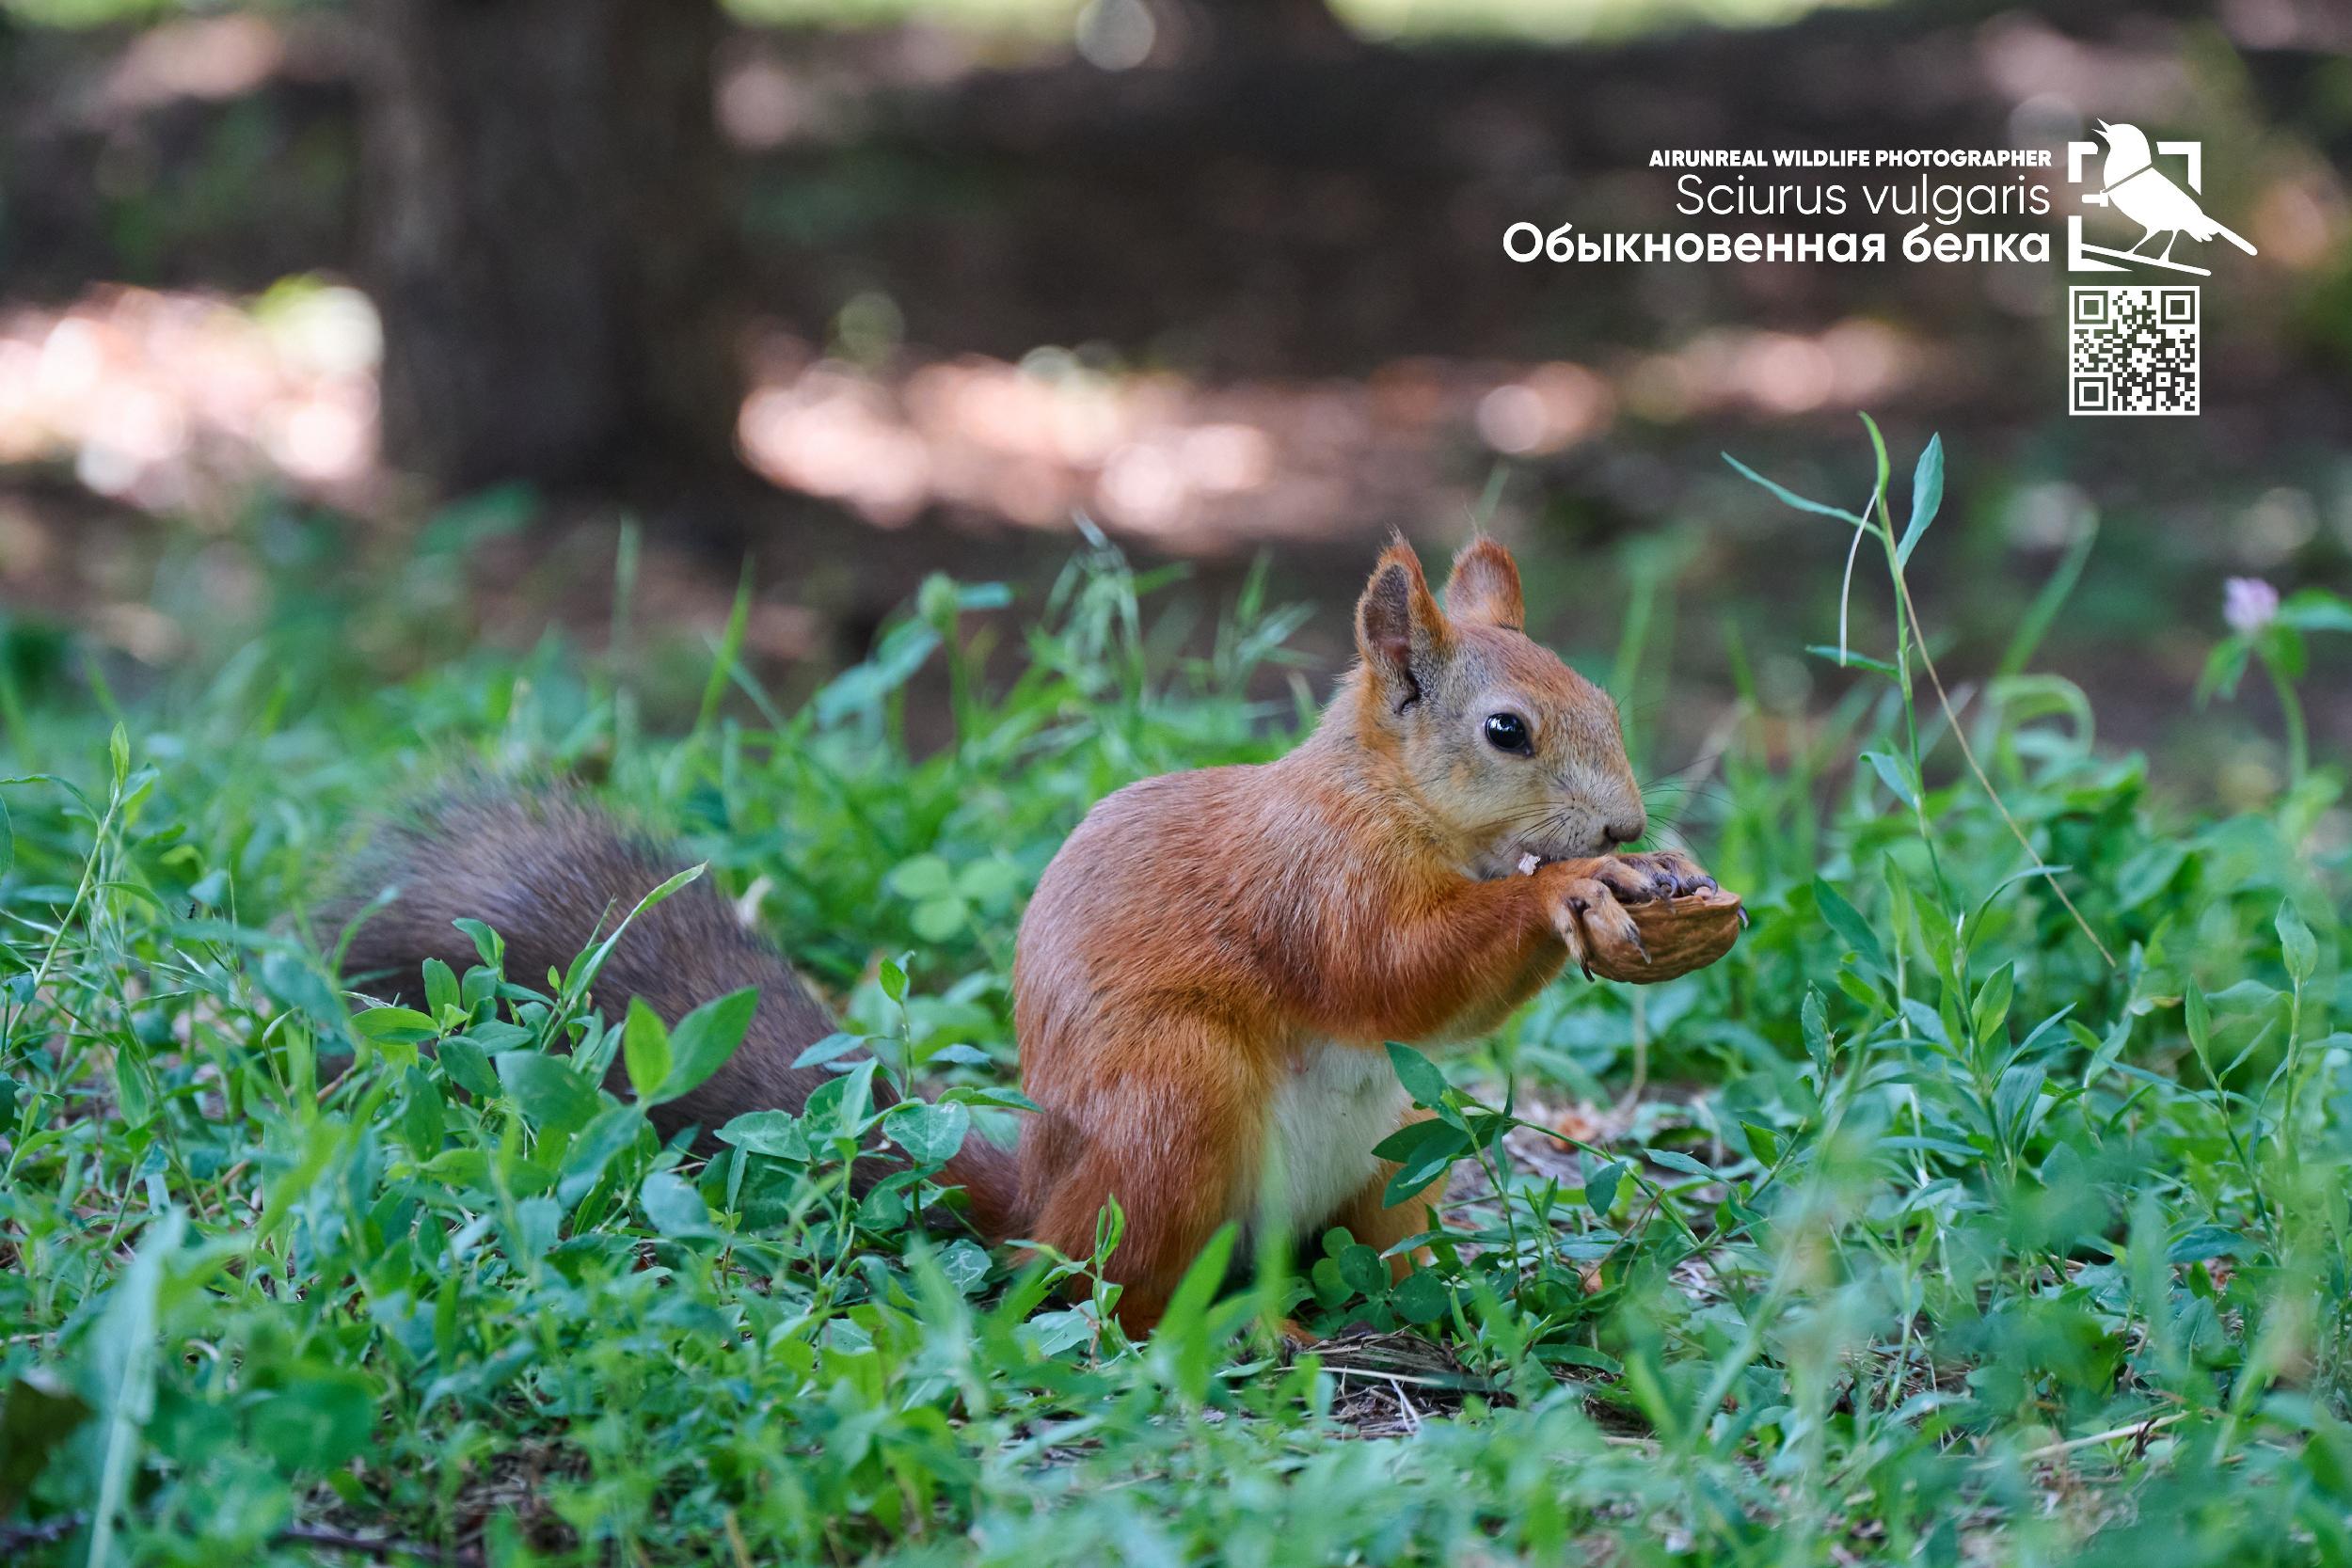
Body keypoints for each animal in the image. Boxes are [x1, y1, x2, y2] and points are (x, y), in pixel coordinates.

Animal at [332, 538, 1718, 1334]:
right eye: (1505, 730)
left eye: (1600, 697)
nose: (1626, 818)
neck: (1381, 800)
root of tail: (1034, 1204)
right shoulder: (1310, 885)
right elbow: (1393, 973)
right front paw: (1564, 889)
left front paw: (1652, 877)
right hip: (1173, 1104)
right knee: (1120, 1297)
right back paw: (1240, 1331)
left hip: (1396, 1154)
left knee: (1375, 1248)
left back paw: (1497, 1285)